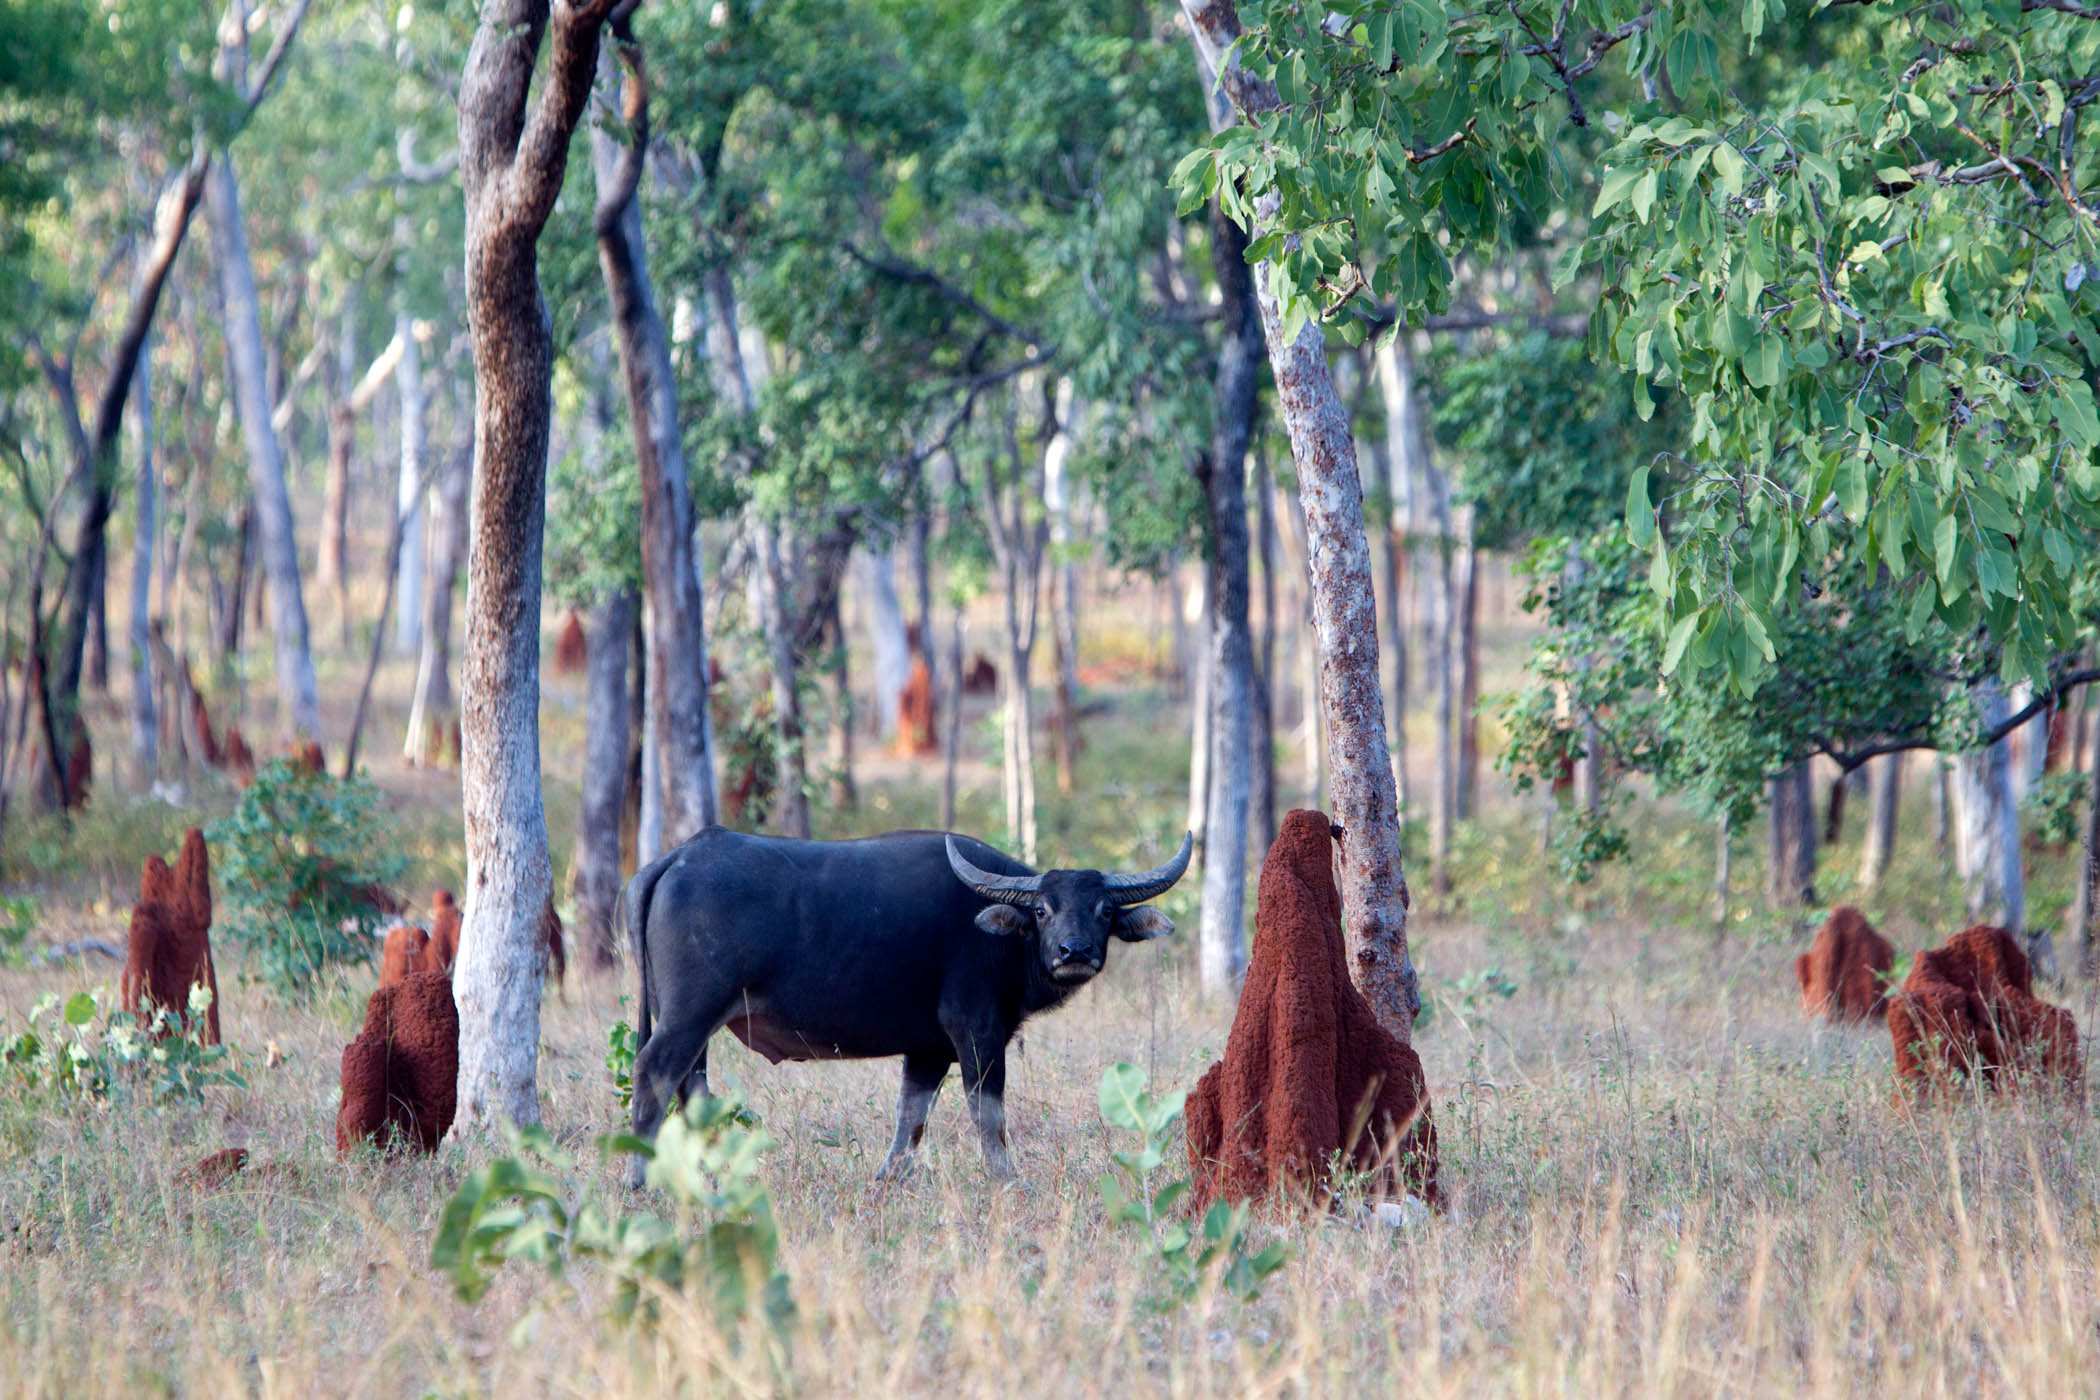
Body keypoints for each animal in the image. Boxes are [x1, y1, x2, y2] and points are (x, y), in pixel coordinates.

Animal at [621, 827, 1191, 1184]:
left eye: (1102, 909)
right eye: (1044, 910)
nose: (1074, 952)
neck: (998, 934)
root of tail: (678, 858)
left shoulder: (928, 1049)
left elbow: (910, 1116)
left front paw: (886, 1180)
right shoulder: (977, 1031)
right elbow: (988, 1114)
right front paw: (1008, 1181)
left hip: (693, 1021)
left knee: (691, 1086)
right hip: (690, 1014)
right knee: (654, 1072)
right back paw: (640, 1180)